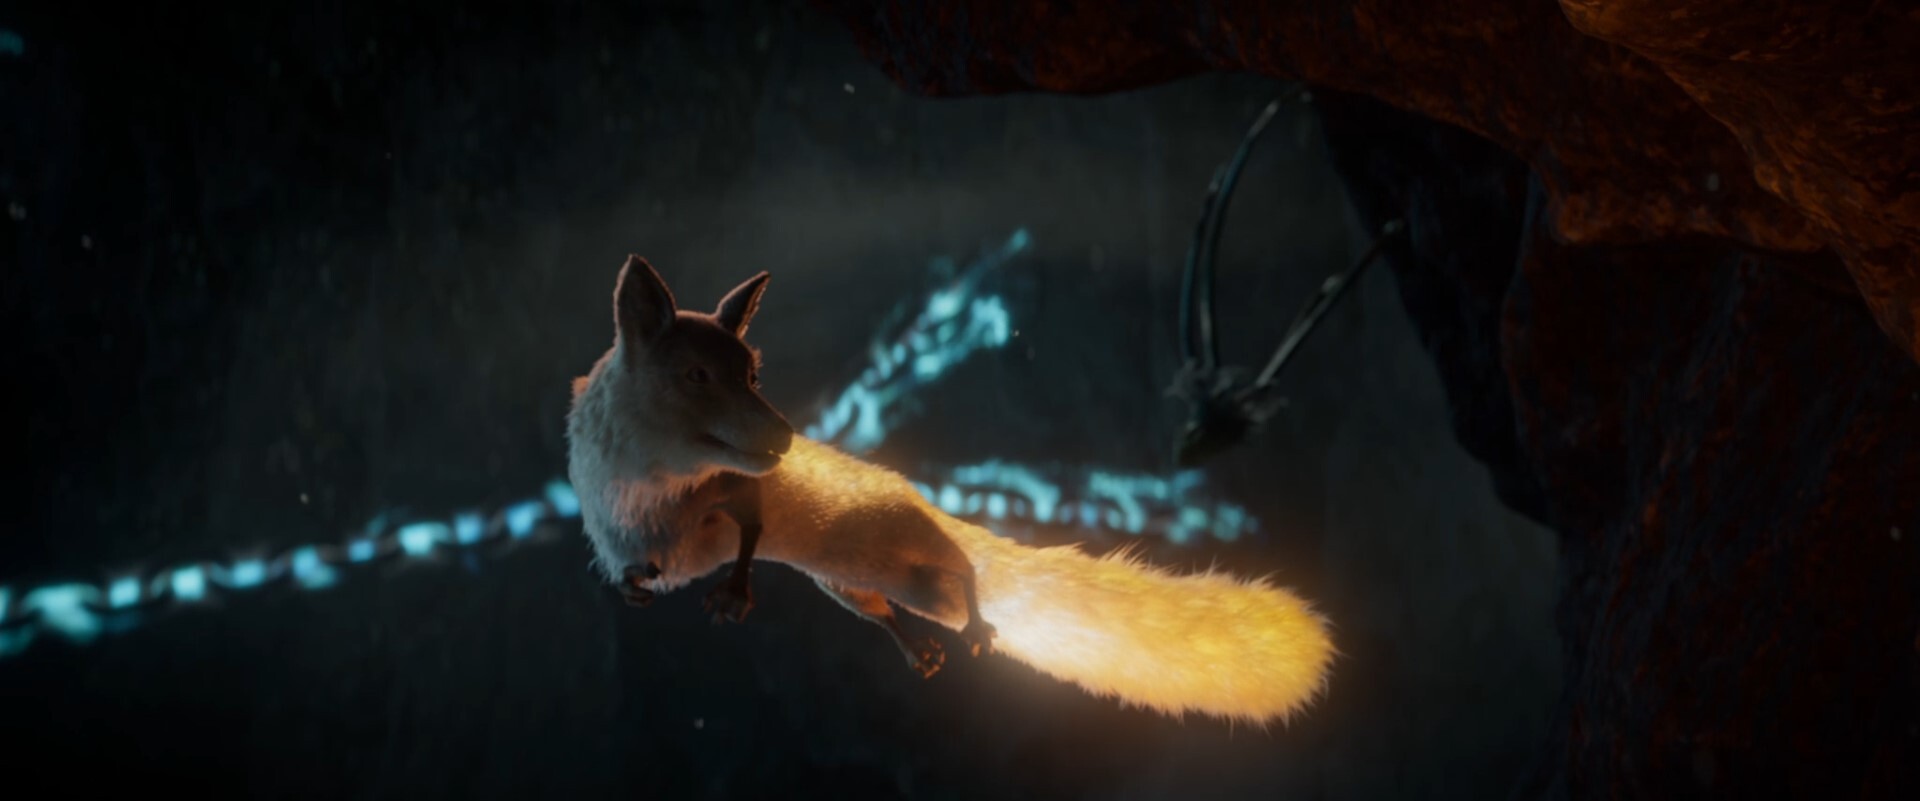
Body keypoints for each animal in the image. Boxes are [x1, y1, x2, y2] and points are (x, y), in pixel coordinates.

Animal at [565, 255, 1336, 726]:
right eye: (697, 375)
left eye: (753, 373)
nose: (784, 437)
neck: (643, 492)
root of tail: (928, 504)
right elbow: (647, 572)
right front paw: (636, 591)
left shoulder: (735, 497)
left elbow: (750, 532)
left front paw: (732, 597)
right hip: (863, 582)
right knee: (901, 606)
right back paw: (926, 651)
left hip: (906, 549)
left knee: (964, 569)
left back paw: (978, 630)